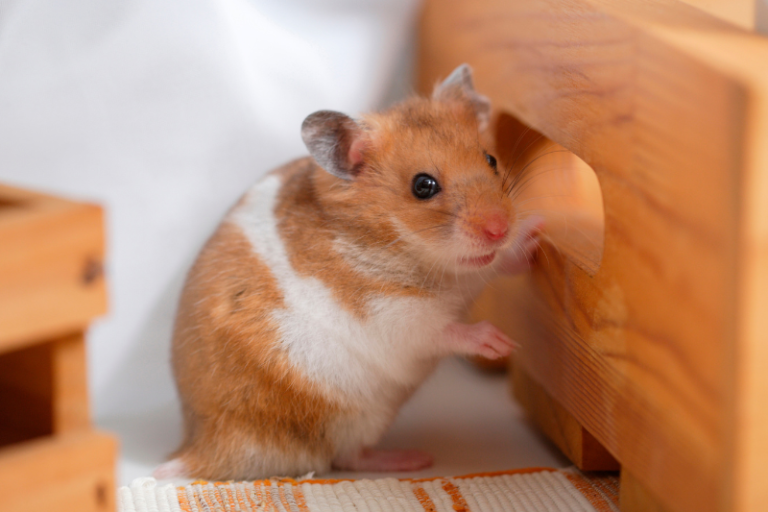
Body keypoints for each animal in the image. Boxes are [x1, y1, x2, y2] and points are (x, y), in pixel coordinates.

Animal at [155, 64, 542, 480]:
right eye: (423, 186)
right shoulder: (392, 316)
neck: (426, 258)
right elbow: (442, 330)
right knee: (346, 457)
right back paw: (413, 459)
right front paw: (500, 342)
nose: (499, 228)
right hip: (348, 417)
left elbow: (498, 263)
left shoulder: (473, 271)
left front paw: (535, 238)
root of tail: (201, 447)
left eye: (491, 159)